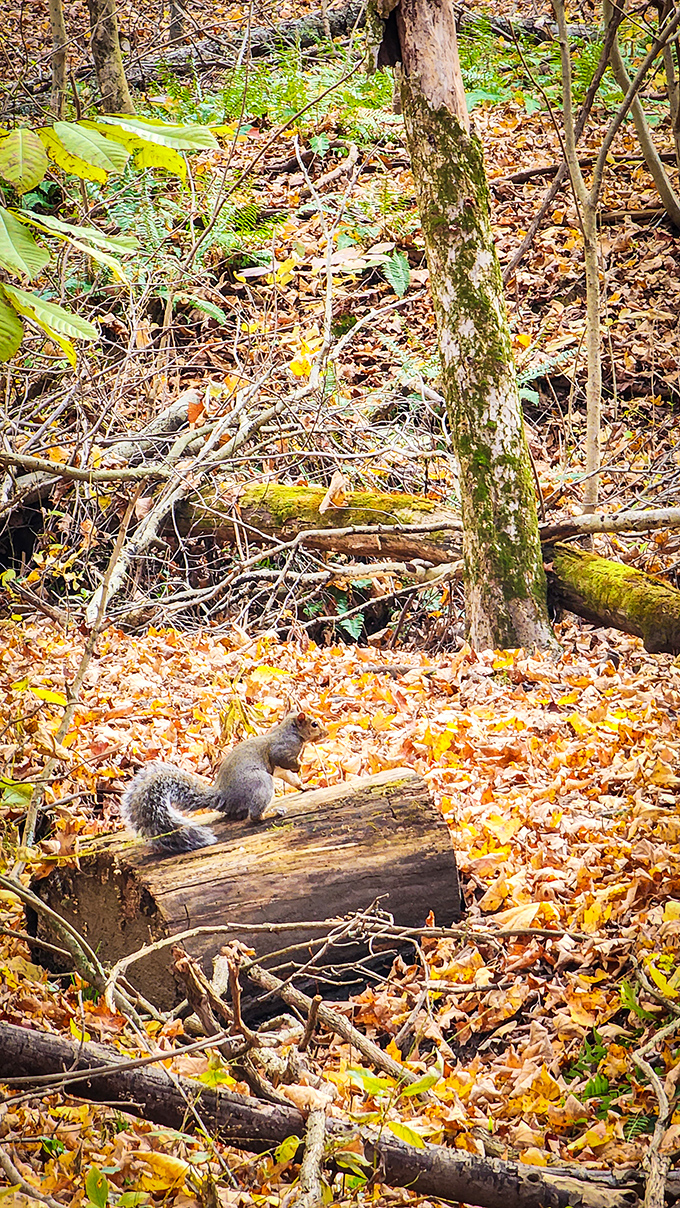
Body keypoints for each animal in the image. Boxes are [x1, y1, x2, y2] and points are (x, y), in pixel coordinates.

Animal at [120, 711, 329, 855]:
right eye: (314, 724)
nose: (326, 732)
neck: (290, 731)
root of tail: (224, 796)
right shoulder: (281, 750)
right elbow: (285, 760)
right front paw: (300, 765)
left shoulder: (281, 770)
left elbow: (292, 779)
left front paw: (306, 785)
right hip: (260, 782)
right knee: (254, 816)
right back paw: (271, 813)